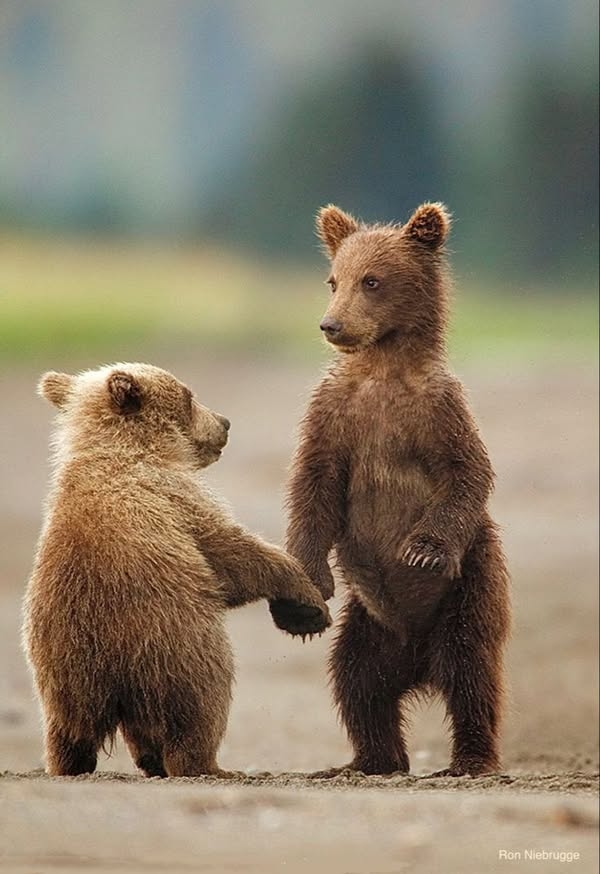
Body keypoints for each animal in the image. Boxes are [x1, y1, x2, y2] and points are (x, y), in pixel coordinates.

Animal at [23, 362, 331, 778]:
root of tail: (108, 683)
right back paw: (209, 765)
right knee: (202, 707)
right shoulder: (174, 499)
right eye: (188, 396)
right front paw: (307, 603)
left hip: (61, 671)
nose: (225, 422)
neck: (126, 448)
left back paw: (79, 763)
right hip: (173, 647)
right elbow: (230, 555)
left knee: (69, 732)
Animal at [276, 202, 511, 777]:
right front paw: (304, 594)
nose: (331, 324)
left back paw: (469, 759)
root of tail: (417, 661)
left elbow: (469, 473)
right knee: (358, 682)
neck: (382, 369)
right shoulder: (335, 414)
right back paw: (369, 760)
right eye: (333, 279)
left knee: (472, 674)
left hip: (471, 589)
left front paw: (422, 552)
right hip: (367, 625)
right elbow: (312, 487)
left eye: (372, 280)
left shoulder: (438, 411)